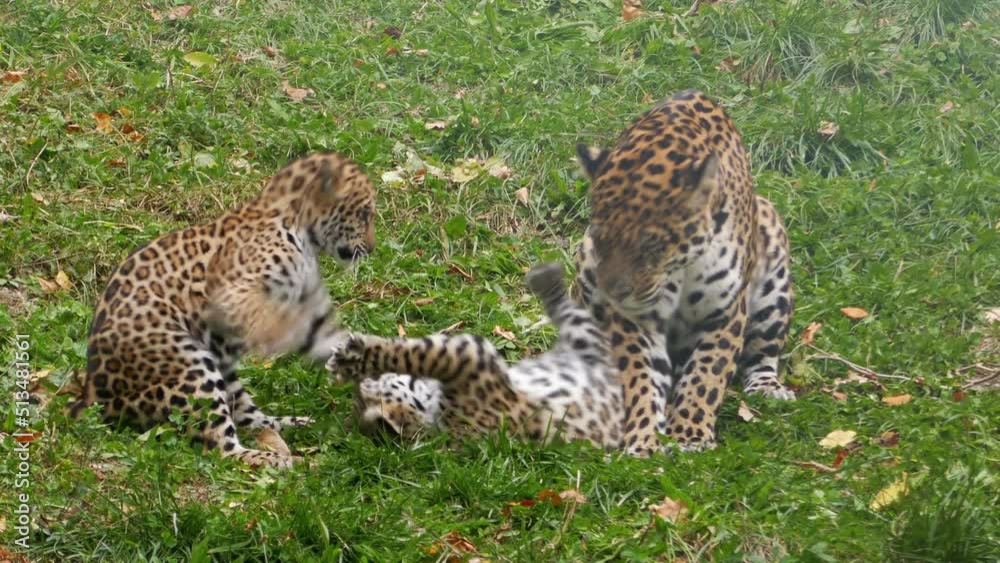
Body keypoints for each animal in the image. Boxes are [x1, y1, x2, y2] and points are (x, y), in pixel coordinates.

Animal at [69, 152, 376, 468]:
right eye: (365, 213)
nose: (372, 248)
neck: (304, 235)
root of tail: (93, 395)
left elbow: (328, 337)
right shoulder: (233, 294)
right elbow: (279, 323)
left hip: (223, 370)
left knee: (247, 417)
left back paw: (293, 425)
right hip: (190, 365)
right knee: (222, 448)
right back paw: (284, 461)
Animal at [572, 89, 795, 456]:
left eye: (652, 244)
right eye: (602, 238)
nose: (615, 294)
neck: (681, 267)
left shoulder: (725, 313)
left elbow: (707, 375)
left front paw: (689, 435)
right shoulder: (635, 319)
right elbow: (640, 376)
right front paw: (643, 439)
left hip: (774, 269)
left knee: (763, 353)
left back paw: (769, 388)